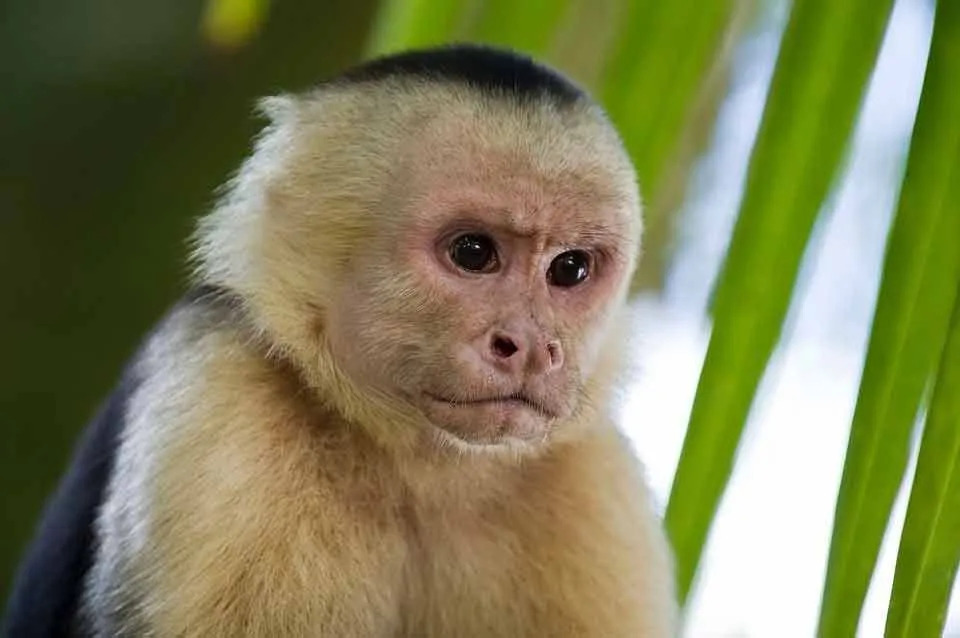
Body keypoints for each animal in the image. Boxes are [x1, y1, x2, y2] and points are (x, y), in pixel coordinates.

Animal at [1, 45, 676, 638]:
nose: (532, 345)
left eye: (570, 269)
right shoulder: (219, 400)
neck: (418, 465)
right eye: (473, 252)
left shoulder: (593, 479)